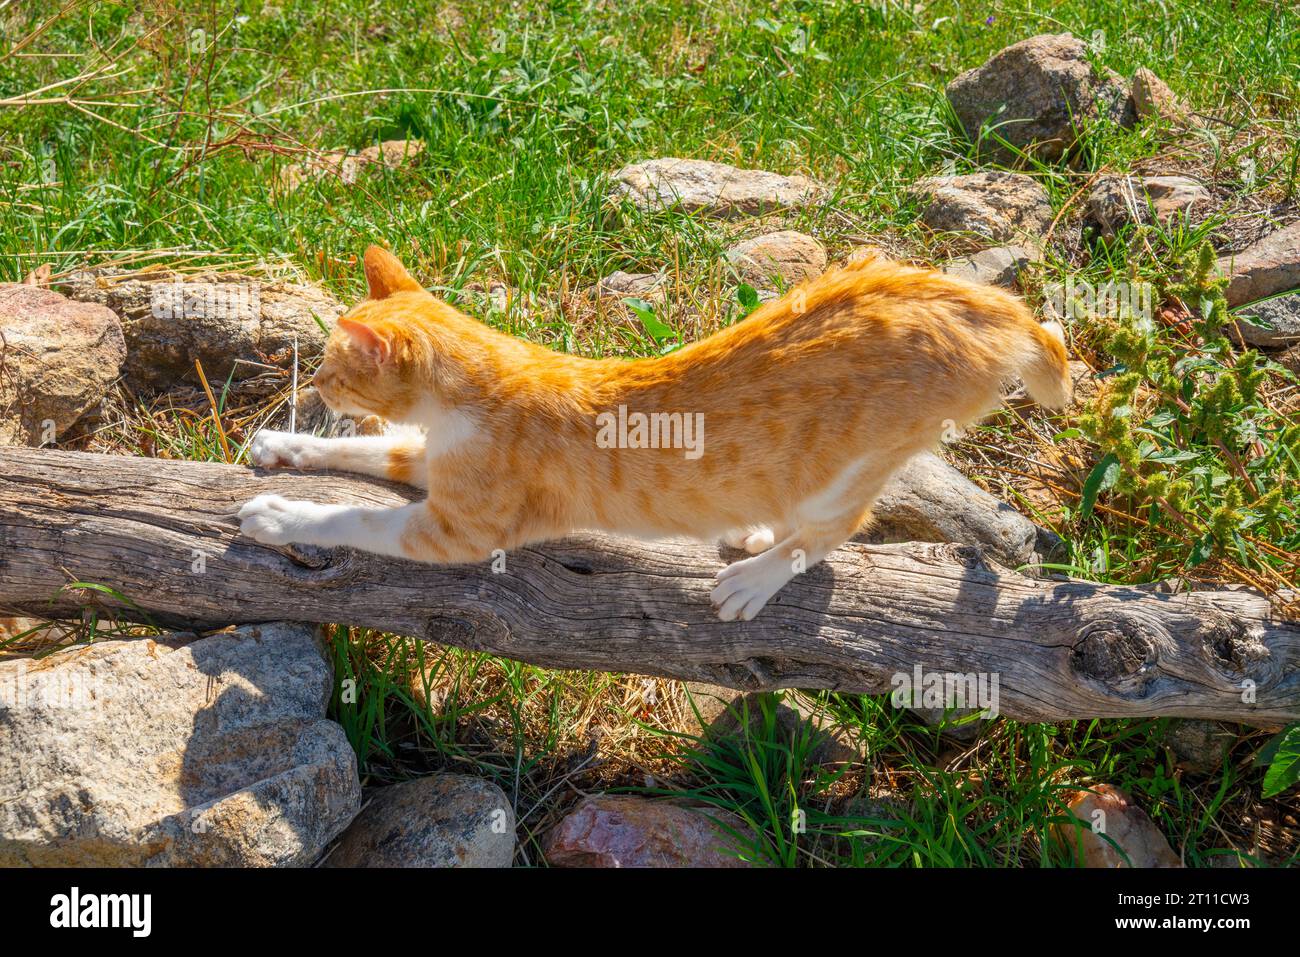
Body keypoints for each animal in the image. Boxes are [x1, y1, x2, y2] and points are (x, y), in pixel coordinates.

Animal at [241, 247, 1066, 621]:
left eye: (332, 366)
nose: (314, 385)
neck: (483, 383)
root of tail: (987, 306)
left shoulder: (461, 528)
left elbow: (354, 516)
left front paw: (279, 514)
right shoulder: (427, 458)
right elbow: (364, 449)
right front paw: (285, 446)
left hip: (849, 470)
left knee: (833, 533)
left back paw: (755, 574)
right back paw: (754, 532)